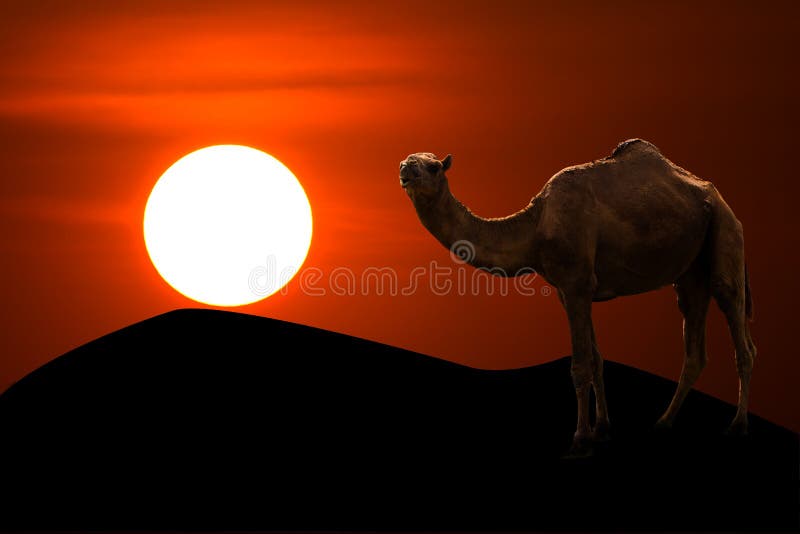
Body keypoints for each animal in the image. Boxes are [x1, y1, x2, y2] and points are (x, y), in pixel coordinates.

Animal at [399, 139, 755, 456]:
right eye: (408, 160)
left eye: (433, 166)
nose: (405, 169)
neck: (537, 225)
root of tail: (722, 201)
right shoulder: (568, 291)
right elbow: (597, 360)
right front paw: (602, 430)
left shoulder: (576, 284)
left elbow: (580, 365)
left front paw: (580, 440)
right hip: (690, 273)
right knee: (695, 341)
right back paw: (664, 422)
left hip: (725, 233)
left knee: (739, 329)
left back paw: (738, 426)